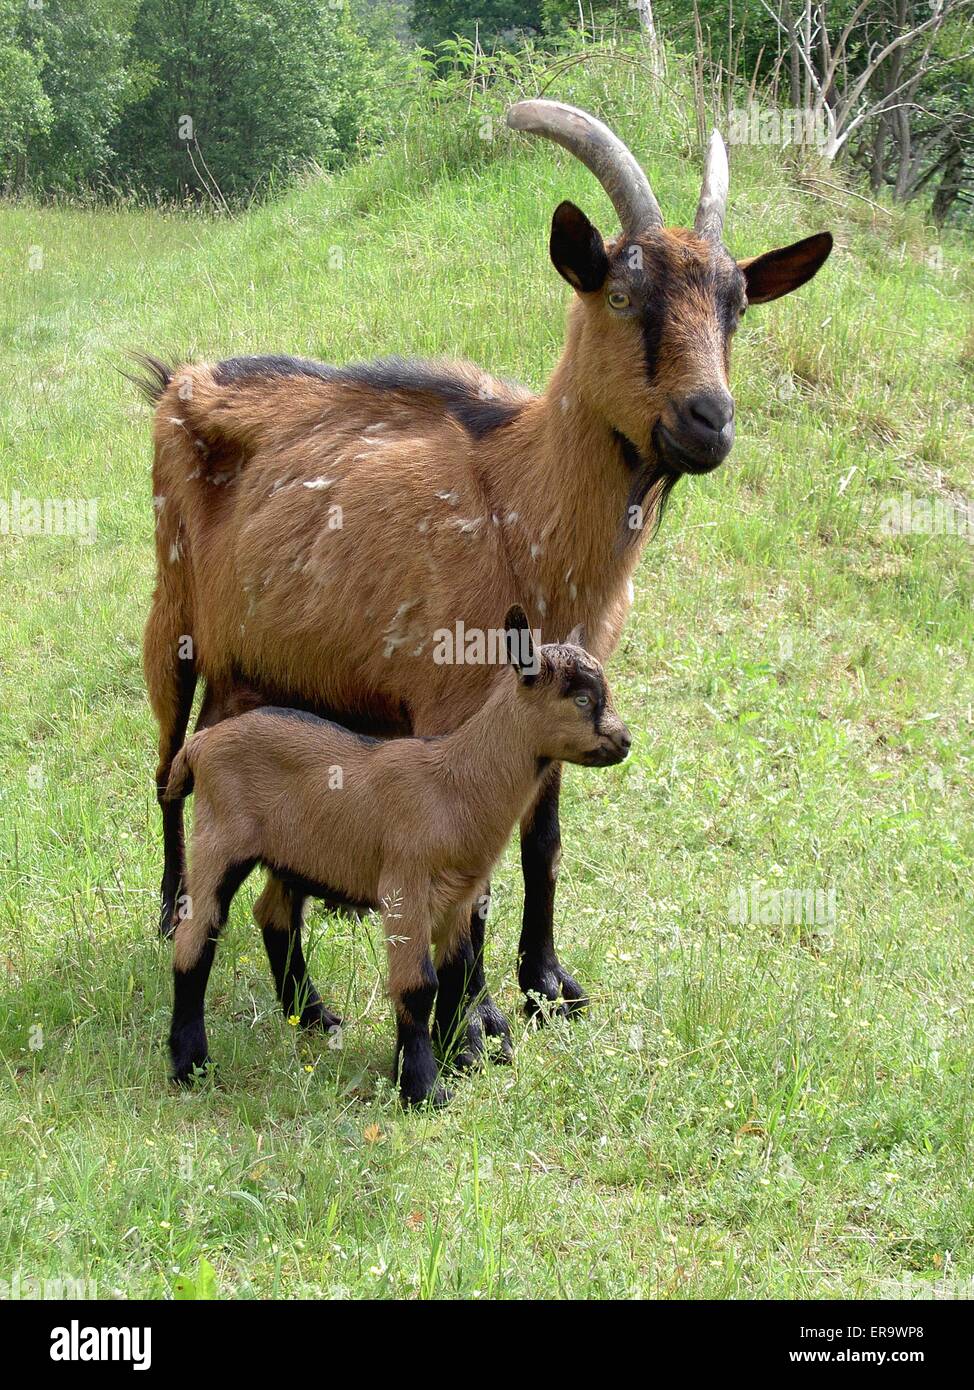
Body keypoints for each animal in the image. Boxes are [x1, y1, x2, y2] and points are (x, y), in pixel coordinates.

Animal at [166, 608, 630, 1106]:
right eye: (582, 698)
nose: (625, 742)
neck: (454, 783)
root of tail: (200, 745)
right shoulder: (406, 886)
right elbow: (419, 985)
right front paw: (424, 1087)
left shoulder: (458, 895)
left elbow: (457, 974)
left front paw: (461, 1059)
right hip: (220, 840)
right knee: (196, 934)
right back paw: (191, 1064)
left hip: (296, 855)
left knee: (274, 916)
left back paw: (313, 1016)